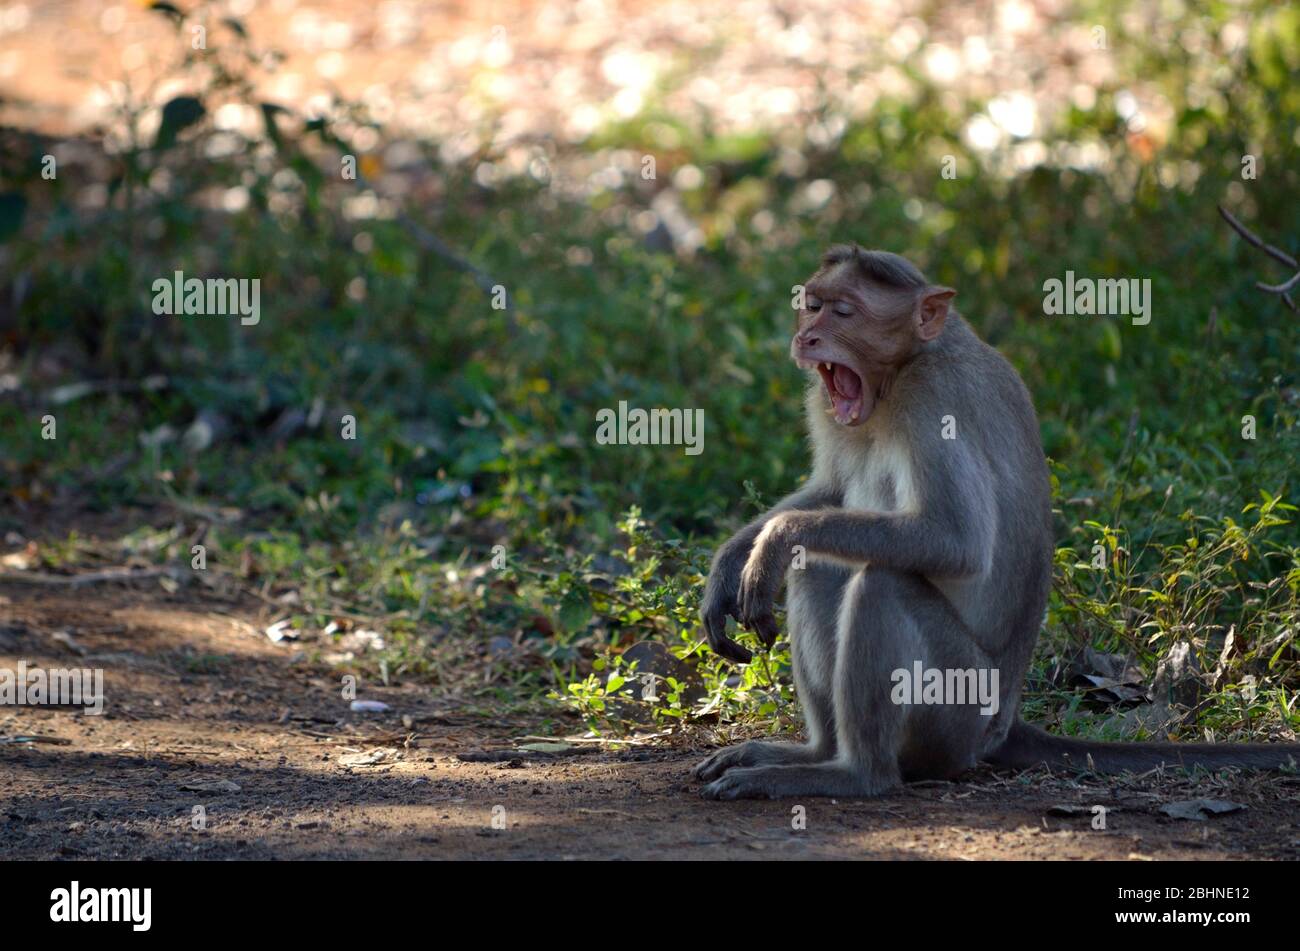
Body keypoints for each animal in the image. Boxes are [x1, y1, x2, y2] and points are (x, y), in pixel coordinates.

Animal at [693, 244, 1300, 799]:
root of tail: (1002, 725)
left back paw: (855, 775)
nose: (808, 338)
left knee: (880, 582)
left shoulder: (933, 400)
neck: (900, 371)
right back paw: (816, 753)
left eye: (844, 313)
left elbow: (956, 540)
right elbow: (832, 492)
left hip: (956, 710)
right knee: (821, 567)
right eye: (813, 306)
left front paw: (777, 538)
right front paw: (734, 560)